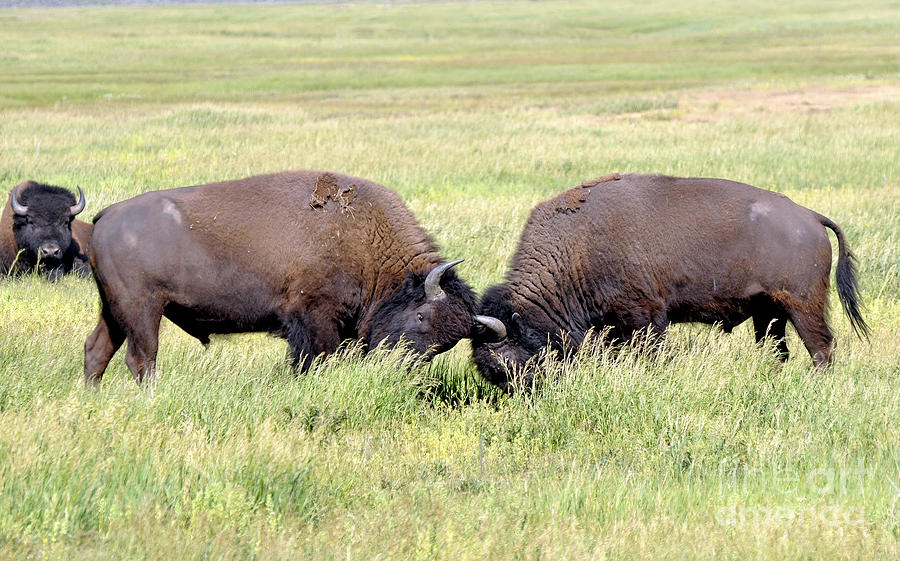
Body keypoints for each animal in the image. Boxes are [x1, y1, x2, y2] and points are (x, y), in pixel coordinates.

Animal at [84, 170, 485, 385]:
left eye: (444, 345)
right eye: (421, 316)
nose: (398, 367)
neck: (362, 235)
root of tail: (105, 216)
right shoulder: (313, 318)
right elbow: (312, 360)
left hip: (114, 310)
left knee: (97, 350)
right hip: (142, 310)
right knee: (142, 359)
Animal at [471, 173, 869, 391]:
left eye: (510, 363)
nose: (528, 396)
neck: (577, 245)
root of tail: (810, 217)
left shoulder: (644, 317)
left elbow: (651, 353)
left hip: (801, 305)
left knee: (821, 346)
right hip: (768, 313)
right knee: (777, 348)